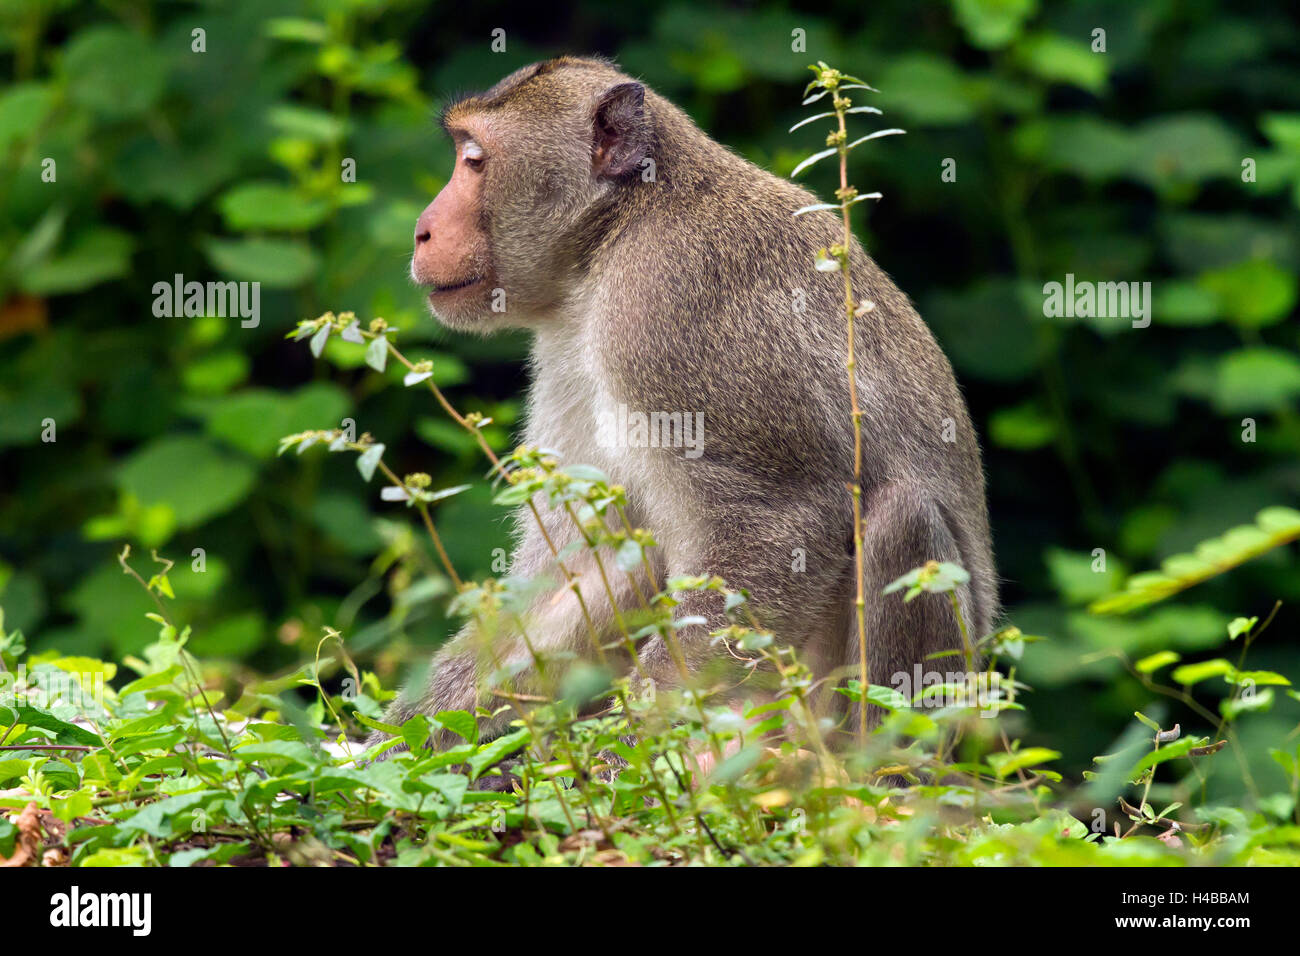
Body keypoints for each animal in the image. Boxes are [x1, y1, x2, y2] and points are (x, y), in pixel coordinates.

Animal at [381, 55, 997, 757]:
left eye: (475, 160)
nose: (422, 230)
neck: (614, 232)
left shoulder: (665, 309)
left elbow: (786, 525)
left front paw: (629, 755)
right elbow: (583, 567)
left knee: (901, 515)